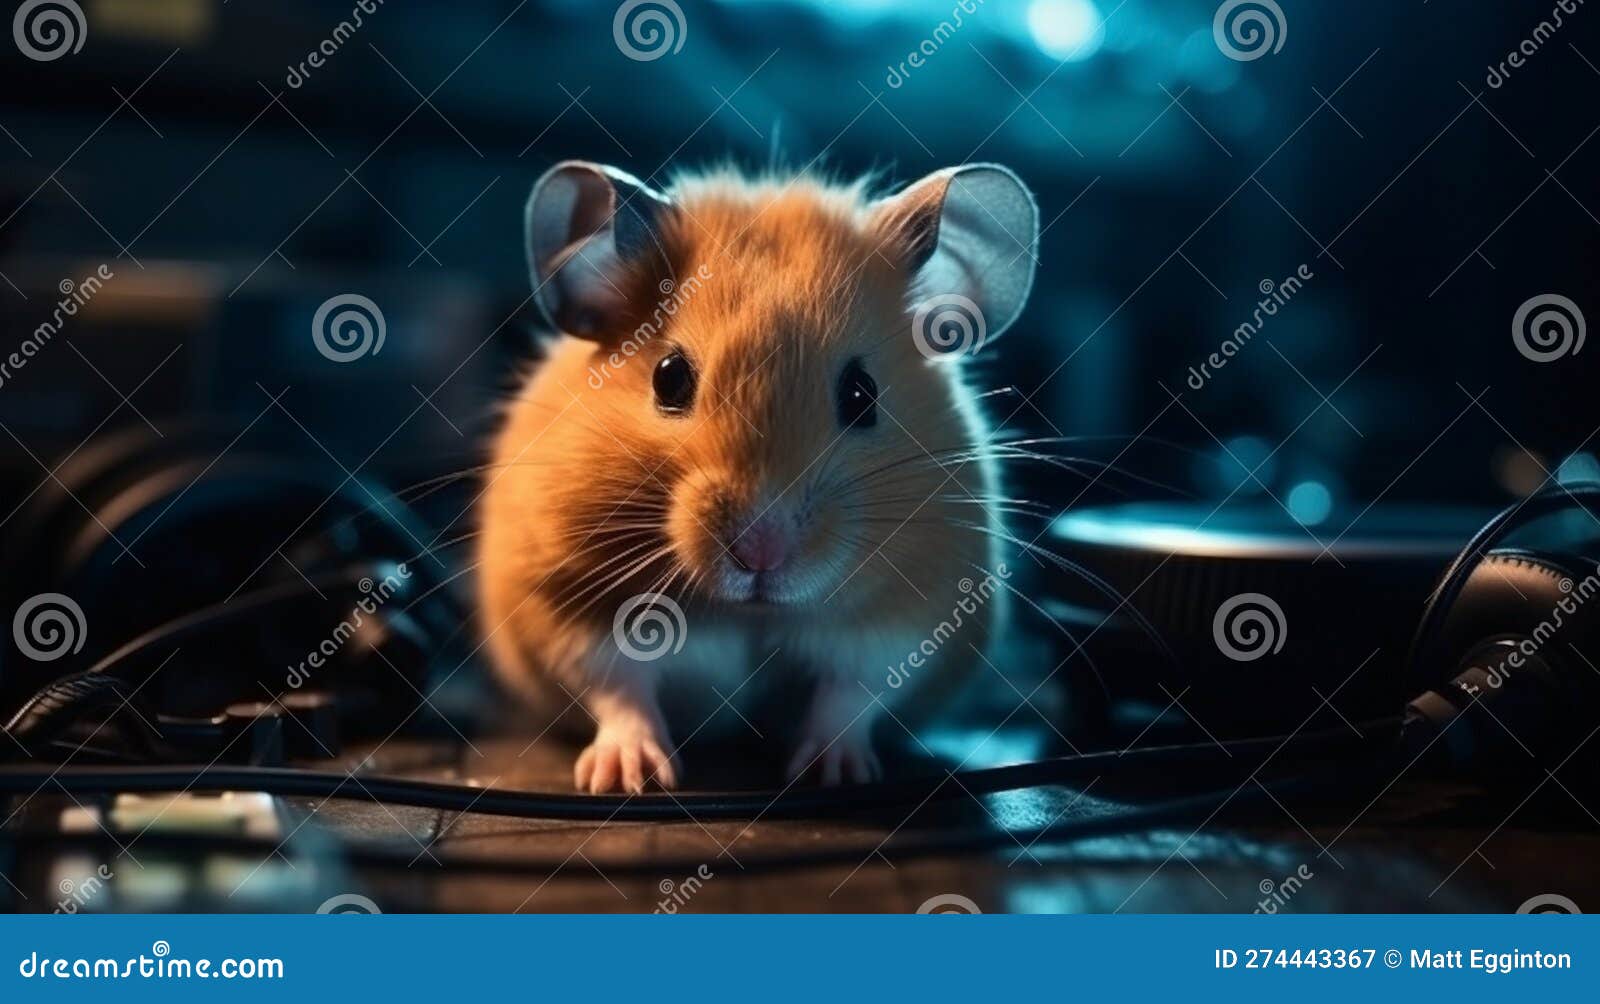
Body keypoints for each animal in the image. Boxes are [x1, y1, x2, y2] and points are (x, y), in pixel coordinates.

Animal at [479, 160, 1039, 793]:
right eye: (669, 378)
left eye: (862, 394)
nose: (760, 553)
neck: (747, 613)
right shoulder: (567, 608)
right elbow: (619, 690)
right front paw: (631, 778)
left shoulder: (905, 618)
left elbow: (849, 696)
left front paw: (833, 775)